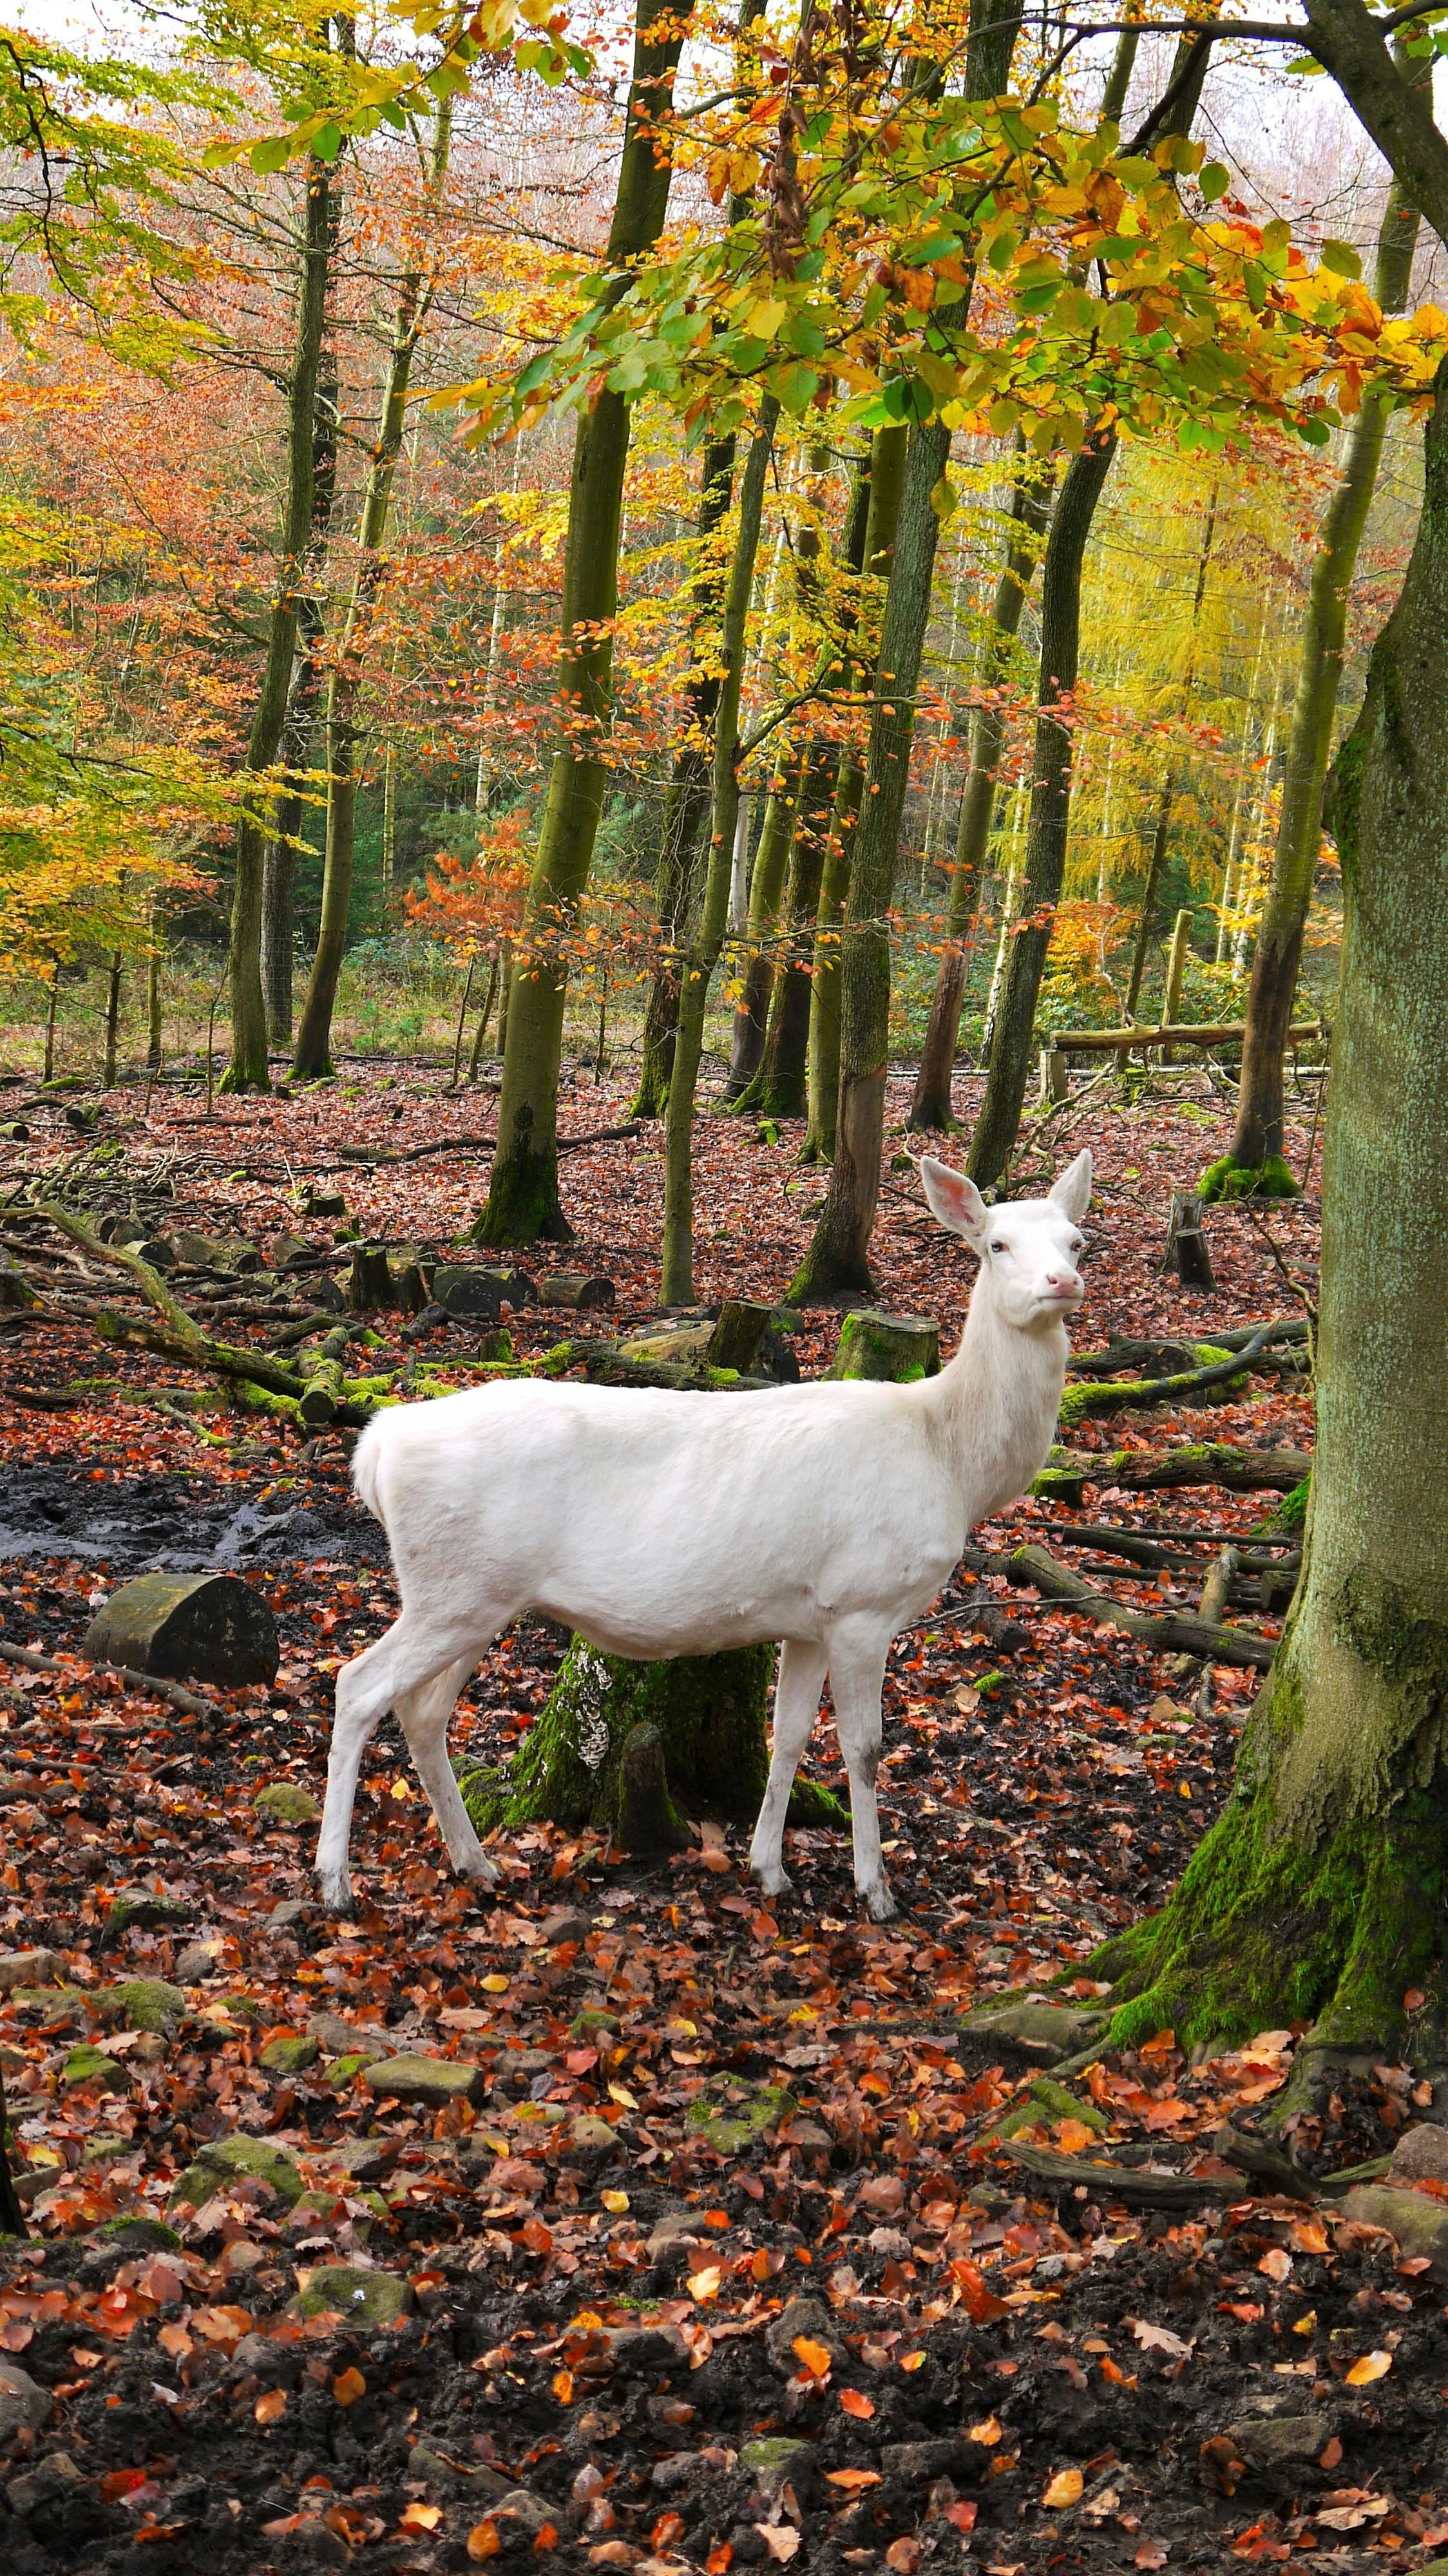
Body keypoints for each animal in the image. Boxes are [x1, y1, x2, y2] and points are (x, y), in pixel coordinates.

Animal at [314, 1149, 1091, 1921]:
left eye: (1077, 1240)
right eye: (996, 1245)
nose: (1062, 1282)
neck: (949, 1461)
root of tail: (377, 1447)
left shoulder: (812, 1615)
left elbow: (787, 1738)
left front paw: (768, 1868)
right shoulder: (863, 1603)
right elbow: (864, 1750)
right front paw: (876, 1892)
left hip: (474, 1595)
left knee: (421, 1711)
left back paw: (474, 1862)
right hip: (455, 1586)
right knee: (358, 1685)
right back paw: (334, 1882)